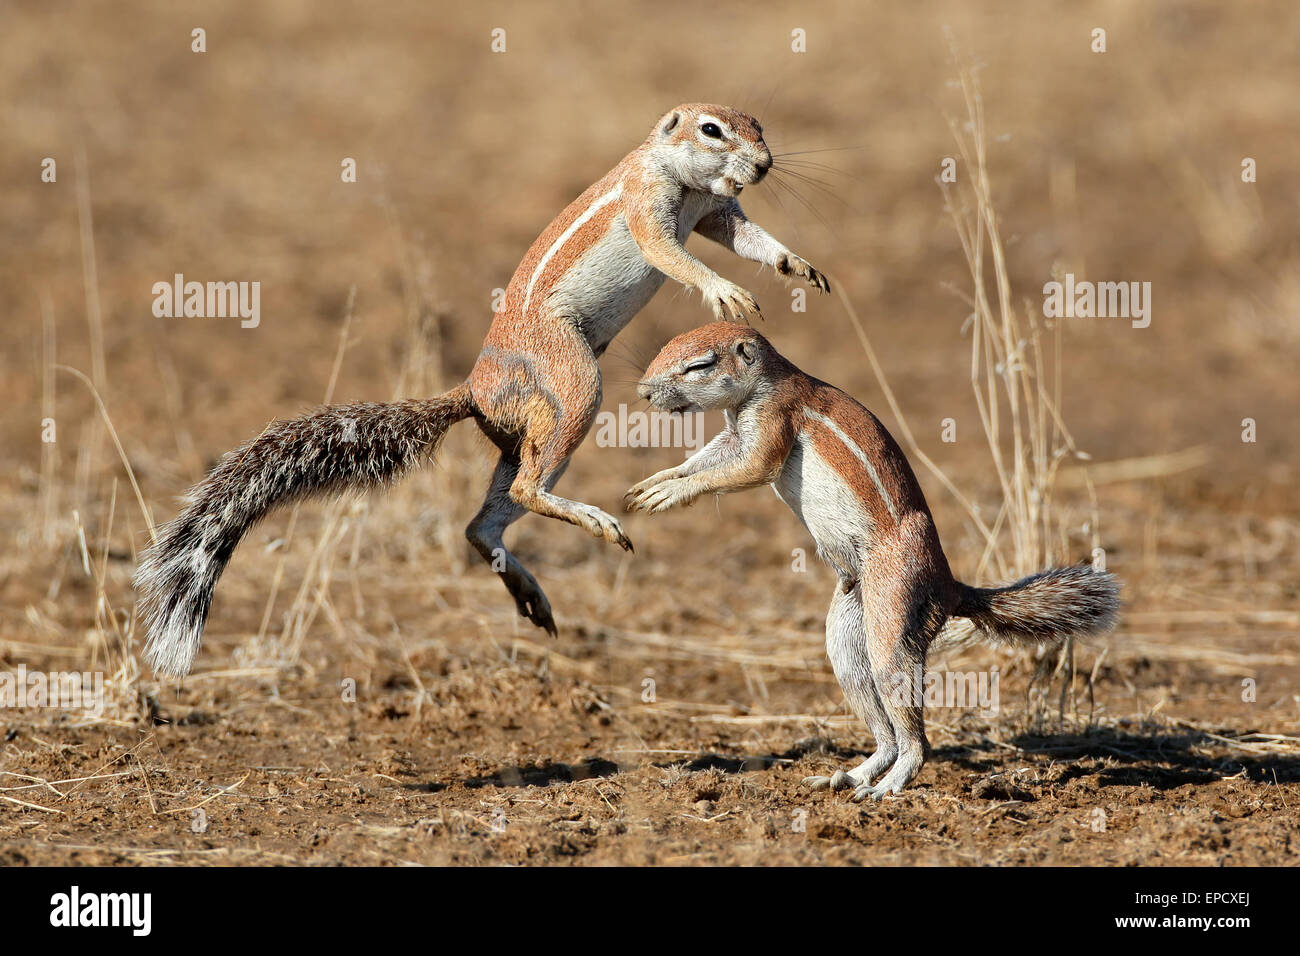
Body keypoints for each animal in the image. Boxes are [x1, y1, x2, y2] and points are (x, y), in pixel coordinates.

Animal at [135, 104, 829, 677]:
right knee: (525, 489)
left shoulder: (712, 212)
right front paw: (723, 289)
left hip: (525, 437)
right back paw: (598, 523)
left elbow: (745, 236)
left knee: (483, 521)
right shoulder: (647, 208)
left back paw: (529, 590)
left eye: (760, 125)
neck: (673, 172)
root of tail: (473, 390)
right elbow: (673, 255)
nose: (765, 164)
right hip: (576, 385)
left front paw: (797, 265)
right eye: (711, 129)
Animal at [625, 322, 1120, 799]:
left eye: (699, 365)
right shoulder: (733, 434)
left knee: (915, 740)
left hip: (892, 616)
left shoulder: (772, 422)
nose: (644, 392)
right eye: (667, 344)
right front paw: (653, 482)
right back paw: (848, 777)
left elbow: (747, 468)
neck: (765, 382)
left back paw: (886, 788)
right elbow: (705, 458)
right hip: (847, 635)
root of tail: (950, 585)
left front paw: (671, 492)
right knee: (883, 731)